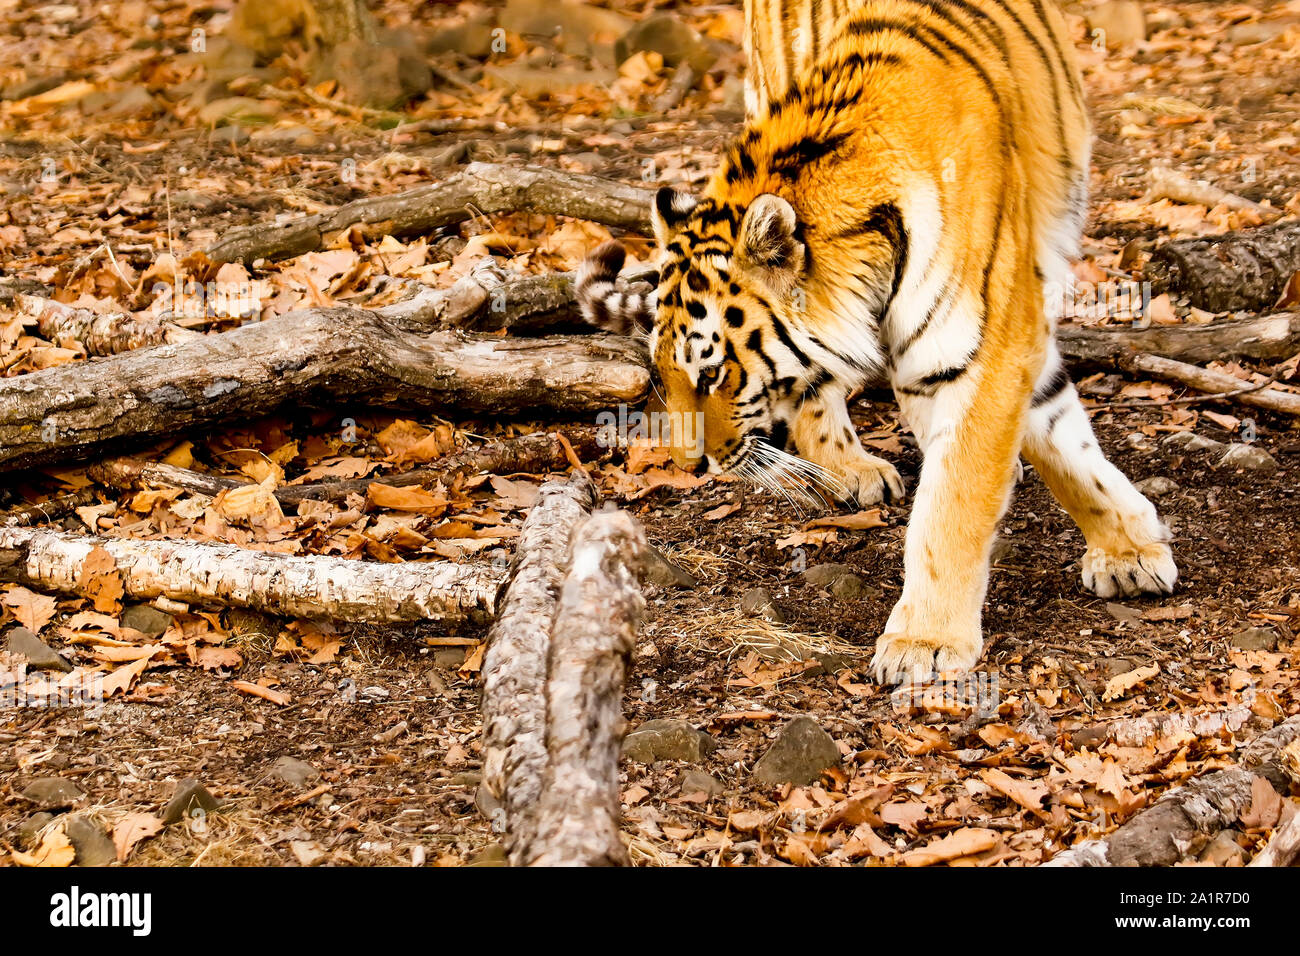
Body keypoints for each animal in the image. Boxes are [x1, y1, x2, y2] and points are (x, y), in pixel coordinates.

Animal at [576, 0, 1177, 684]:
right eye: (666, 375)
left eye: (711, 374)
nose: (687, 467)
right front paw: (930, 641)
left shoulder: (992, 346)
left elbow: (999, 473)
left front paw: (1125, 550)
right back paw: (851, 468)